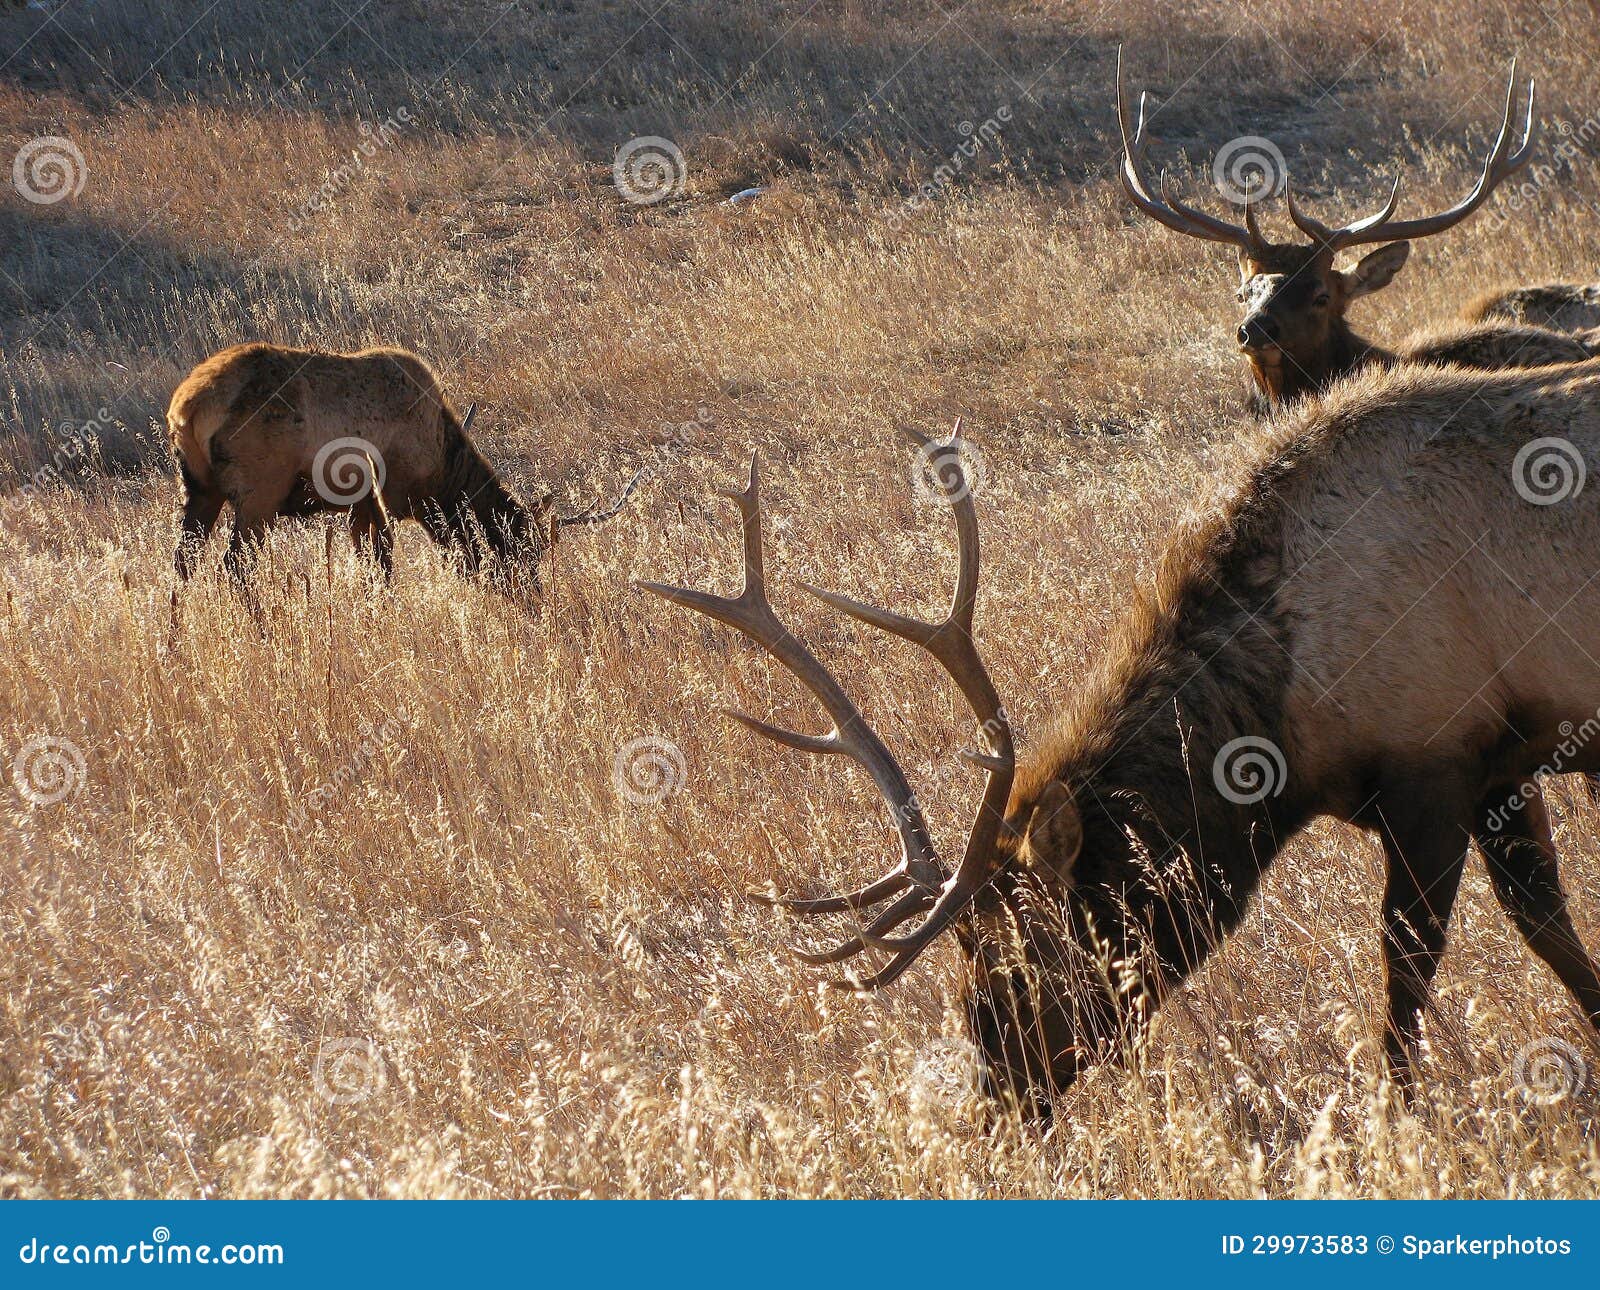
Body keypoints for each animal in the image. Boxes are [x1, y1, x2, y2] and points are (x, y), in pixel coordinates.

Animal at [168, 343, 643, 598]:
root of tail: (187, 407)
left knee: (182, 563)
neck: (440, 474)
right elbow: (383, 566)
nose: (532, 599)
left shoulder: (359, 504)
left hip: (199, 489)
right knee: (234, 568)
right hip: (258, 494)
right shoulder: (383, 495)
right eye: (520, 551)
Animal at [644, 394, 1600, 1118]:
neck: (1284, 711)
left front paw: (1400, 1117)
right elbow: (1544, 923)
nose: (999, 1108)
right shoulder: (1503, 767)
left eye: (1018, 963)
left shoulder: (1436, 763)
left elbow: (1407, 968)